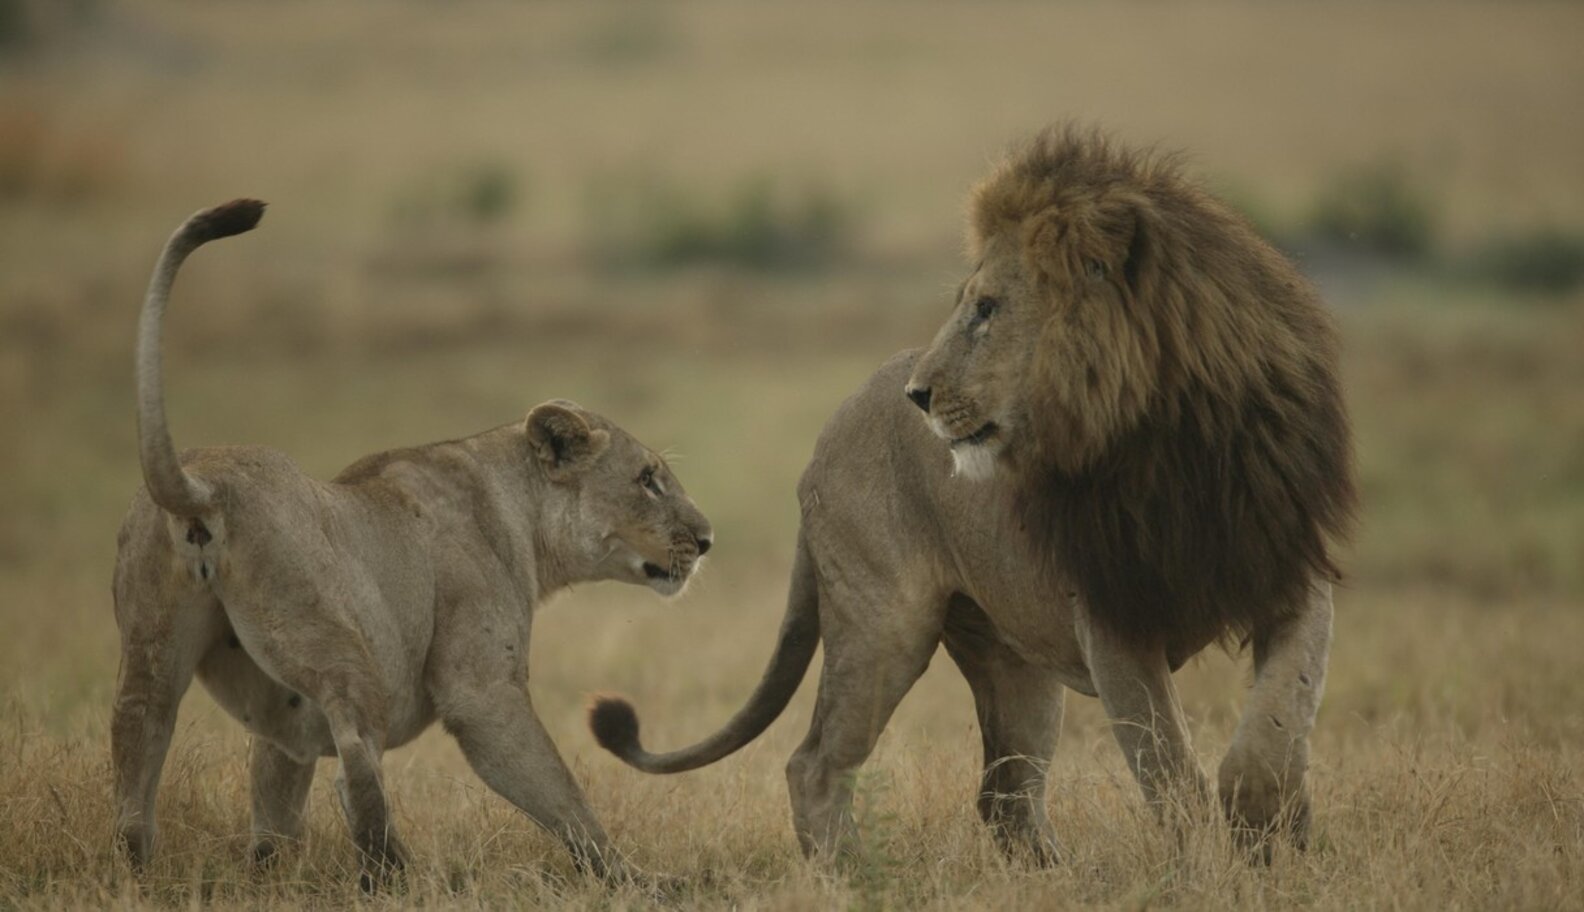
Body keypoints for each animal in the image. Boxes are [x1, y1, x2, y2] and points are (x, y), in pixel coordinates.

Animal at [111, 200, 714, 889]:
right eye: (647, 479)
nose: (707, 539)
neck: (522, 512)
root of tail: (204, 485)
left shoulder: (279, 715)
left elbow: (275, 787)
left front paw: (269, 872)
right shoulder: (480, 689)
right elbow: (561, 794)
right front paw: (638, 881)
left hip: (152, 651)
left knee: (140, 754)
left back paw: (140, 873)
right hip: (338, 639)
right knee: (355, 751)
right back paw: (392, 868)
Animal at [590, 126, 1356, 863]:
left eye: (987, 309)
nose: (919, 395)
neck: (1169, 436)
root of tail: (827, 434)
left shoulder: (1287, 569)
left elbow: (1278, 719)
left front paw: (1272, 832)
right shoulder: (1113, 617)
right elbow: (1166, 765)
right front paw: (1208, 867)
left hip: (1015, 661)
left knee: (1005, 795)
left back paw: (1059, 878)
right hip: (884, 625)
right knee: (815, 763)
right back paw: (853, 875)